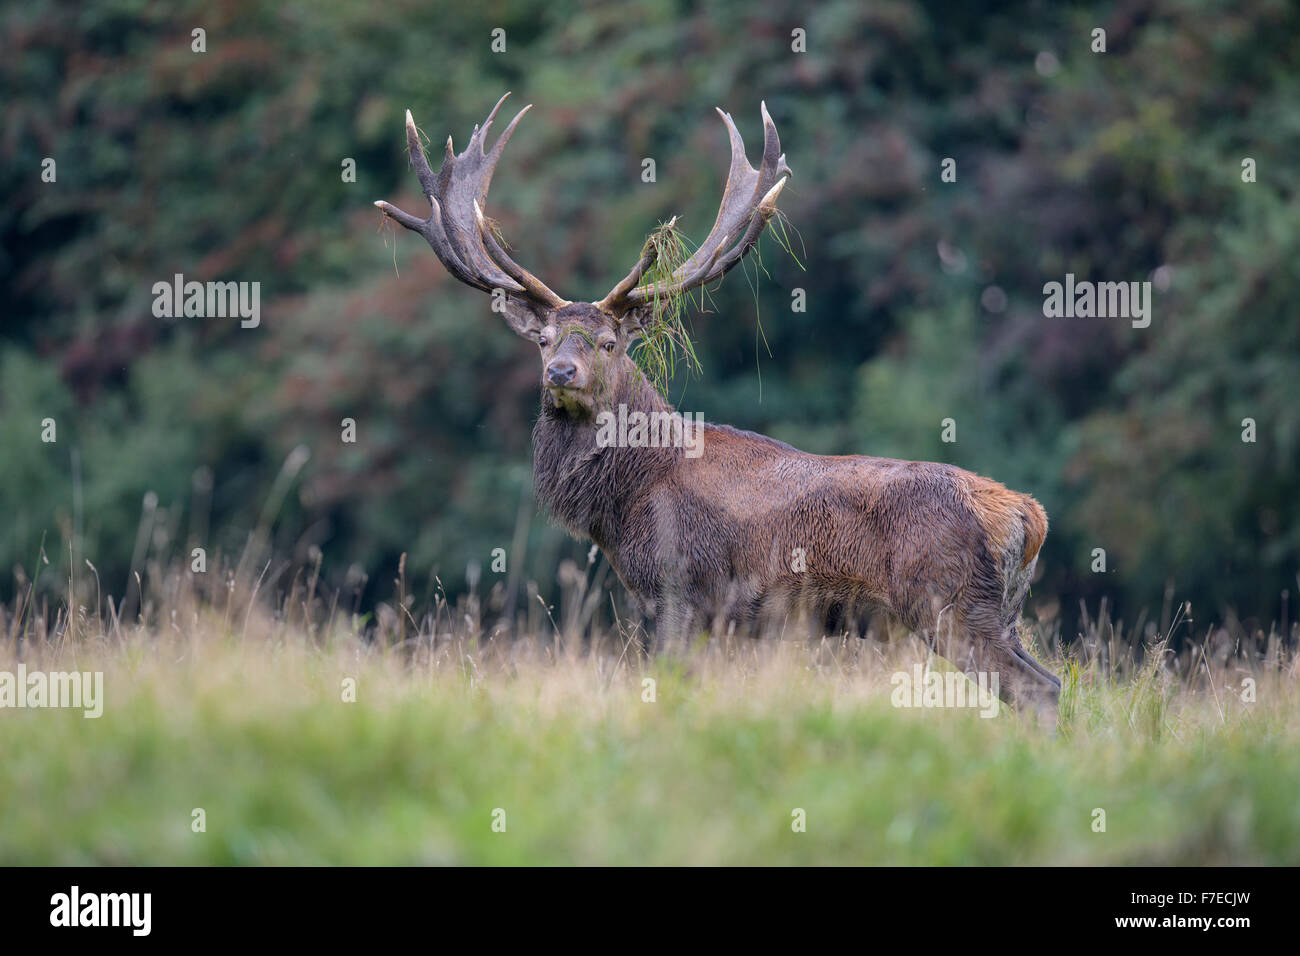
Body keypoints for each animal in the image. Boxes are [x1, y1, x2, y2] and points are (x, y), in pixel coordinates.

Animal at [375, 94, 1062, 722]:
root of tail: (1028, 516)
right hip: (1000, 610)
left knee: (1038, 688)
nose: (560, 373)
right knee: (1047, 679)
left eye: (608, 343)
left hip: (949, 602)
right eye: (543, 340)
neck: (625, 499)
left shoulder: (680, 586)